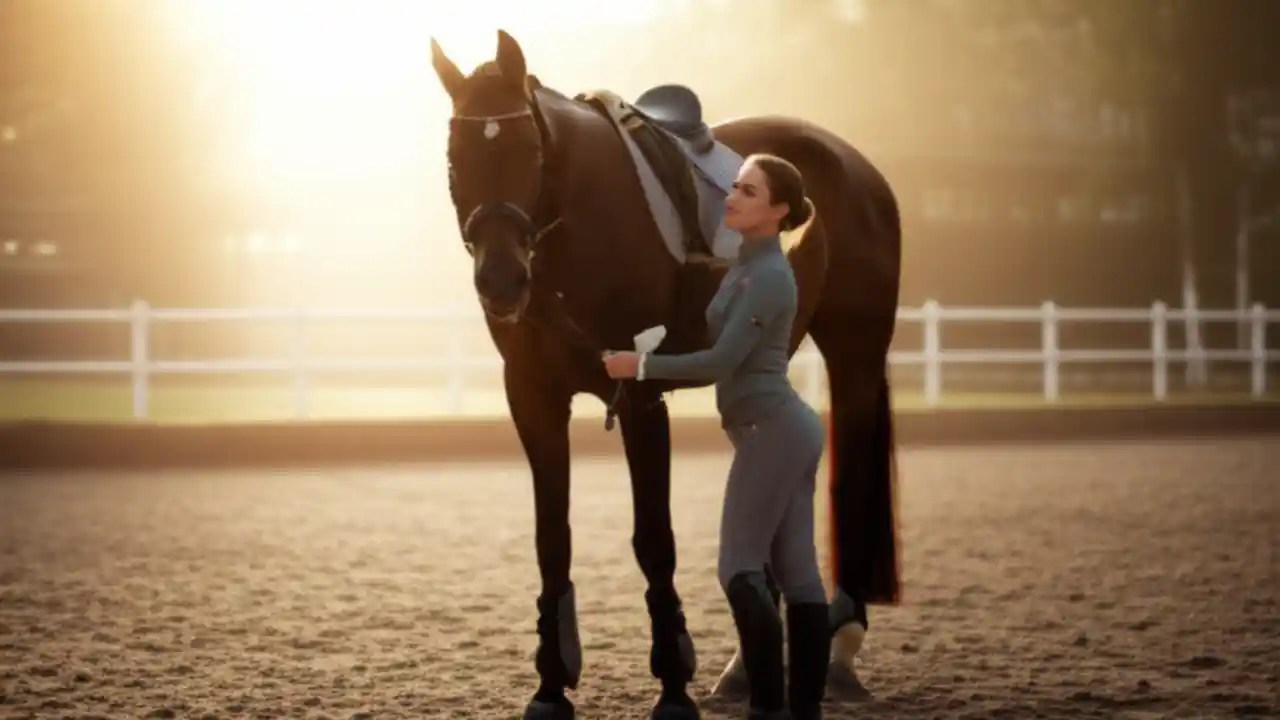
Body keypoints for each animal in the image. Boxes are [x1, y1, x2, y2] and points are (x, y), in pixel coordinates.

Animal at [430, 30, 901, 720]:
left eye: (529, 150)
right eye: (454, 155)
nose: (500, 280)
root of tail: (855, 162)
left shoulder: (640, 399)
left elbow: (654, 540)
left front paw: (674, 688)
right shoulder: (533, 397)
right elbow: (552, 540)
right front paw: (550, 687)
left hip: (856, 356)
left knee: (849, 482)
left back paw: (838, 647)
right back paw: (746, 668)